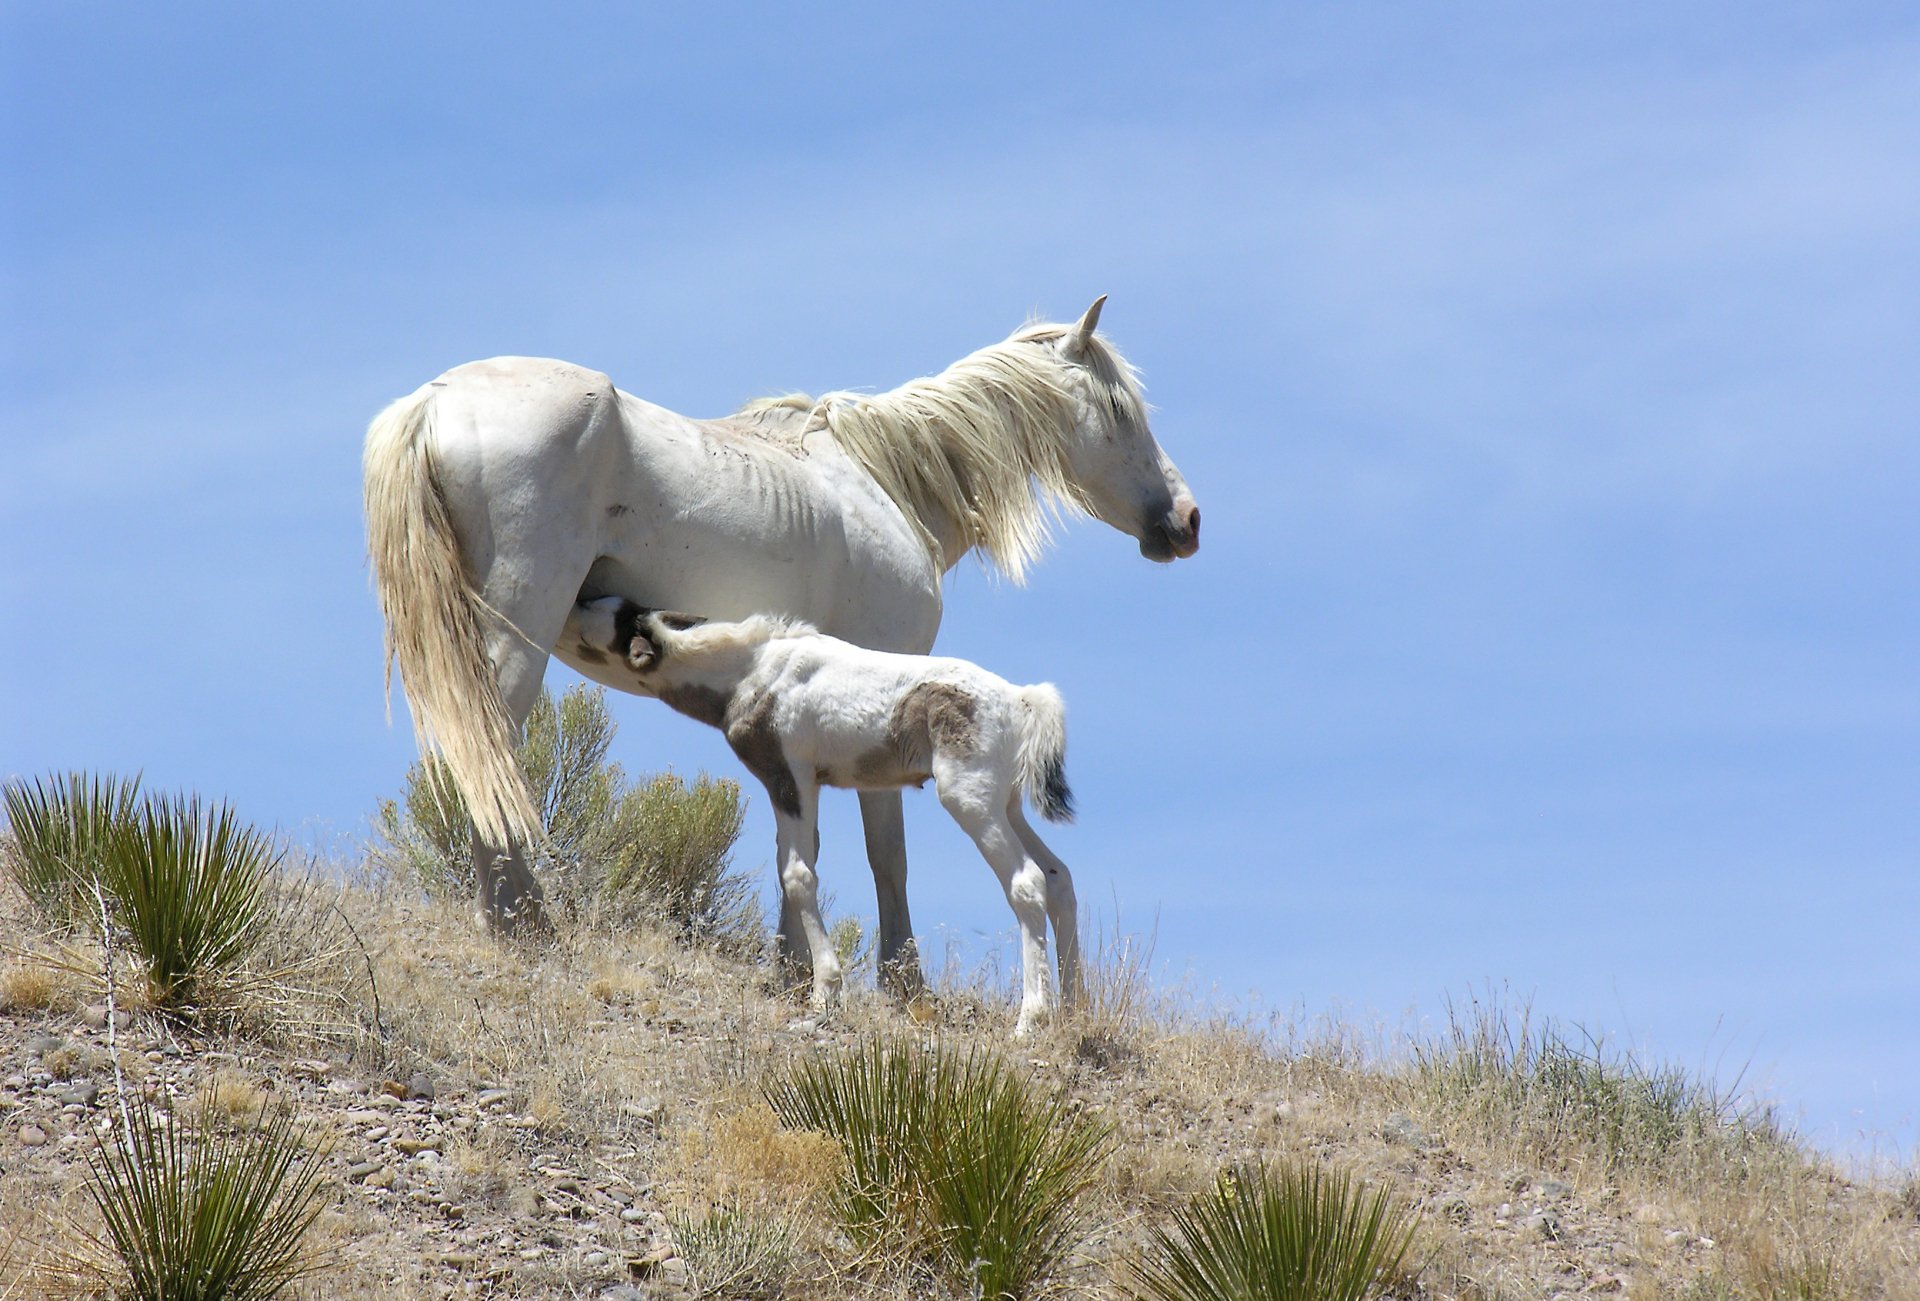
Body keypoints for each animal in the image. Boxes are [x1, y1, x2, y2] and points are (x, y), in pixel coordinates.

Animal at [363, 297, 1198, 992]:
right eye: (1120, 408)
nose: (1185, 518)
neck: (884, 482)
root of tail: (436, 399)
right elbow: (882, 851)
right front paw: (901, 984)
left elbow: (801, 845)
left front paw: (793, 965)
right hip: (519, 623)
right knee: (491, 748)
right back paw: (520, 919)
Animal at [568, 596, 1080, 1037]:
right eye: (621, 606)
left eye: (612, 615)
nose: (578, 599)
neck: (753, 671)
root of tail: (1024, 701)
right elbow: (794, 863)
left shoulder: (791, 779)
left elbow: (799, 874)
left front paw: (825, 992)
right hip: (1006, 806)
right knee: (1058, 876)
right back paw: (1073, 1011)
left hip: (969, 800)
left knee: (1027, 882)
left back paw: (1031, 1019)